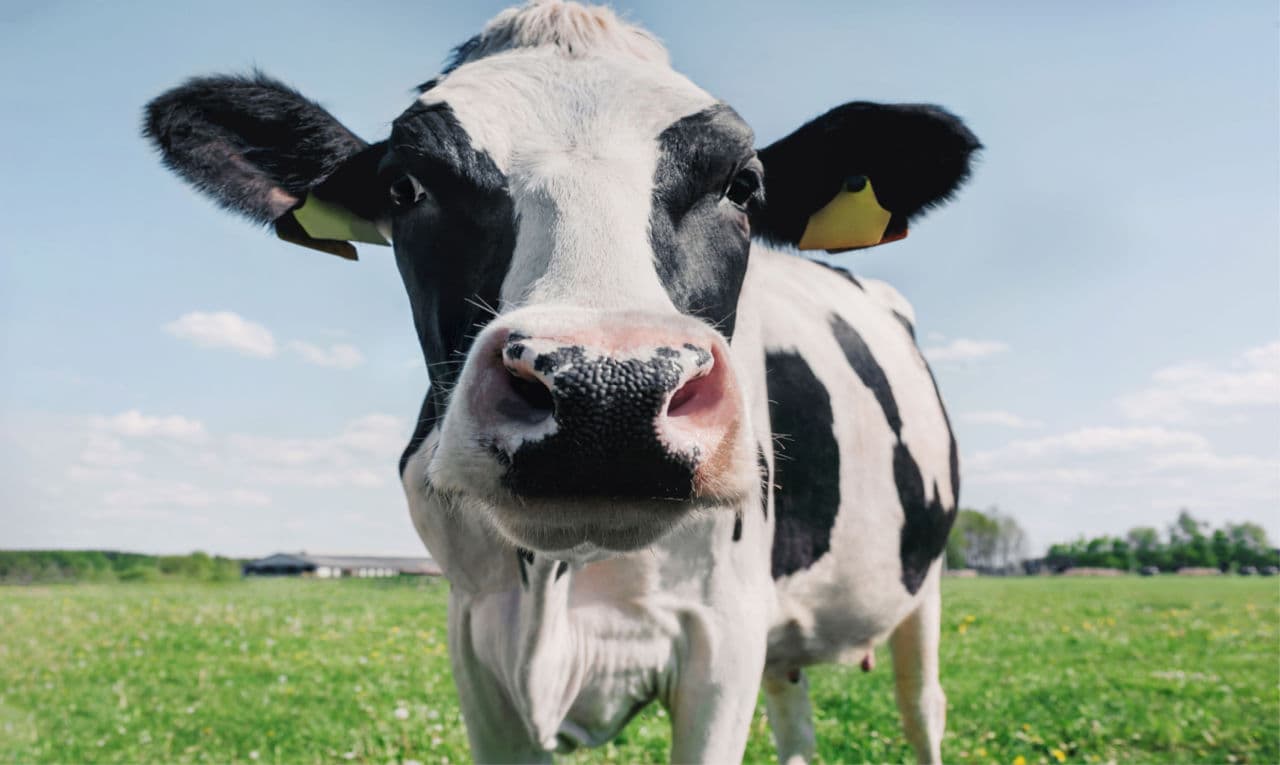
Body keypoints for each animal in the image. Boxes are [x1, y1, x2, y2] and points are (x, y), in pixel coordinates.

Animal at [143, 2, 979, 762]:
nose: (609, 393)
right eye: (406, 187)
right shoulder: (476, 639)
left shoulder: (724, 633)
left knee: (924, 704)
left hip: (924, 582)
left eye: (743, 185)